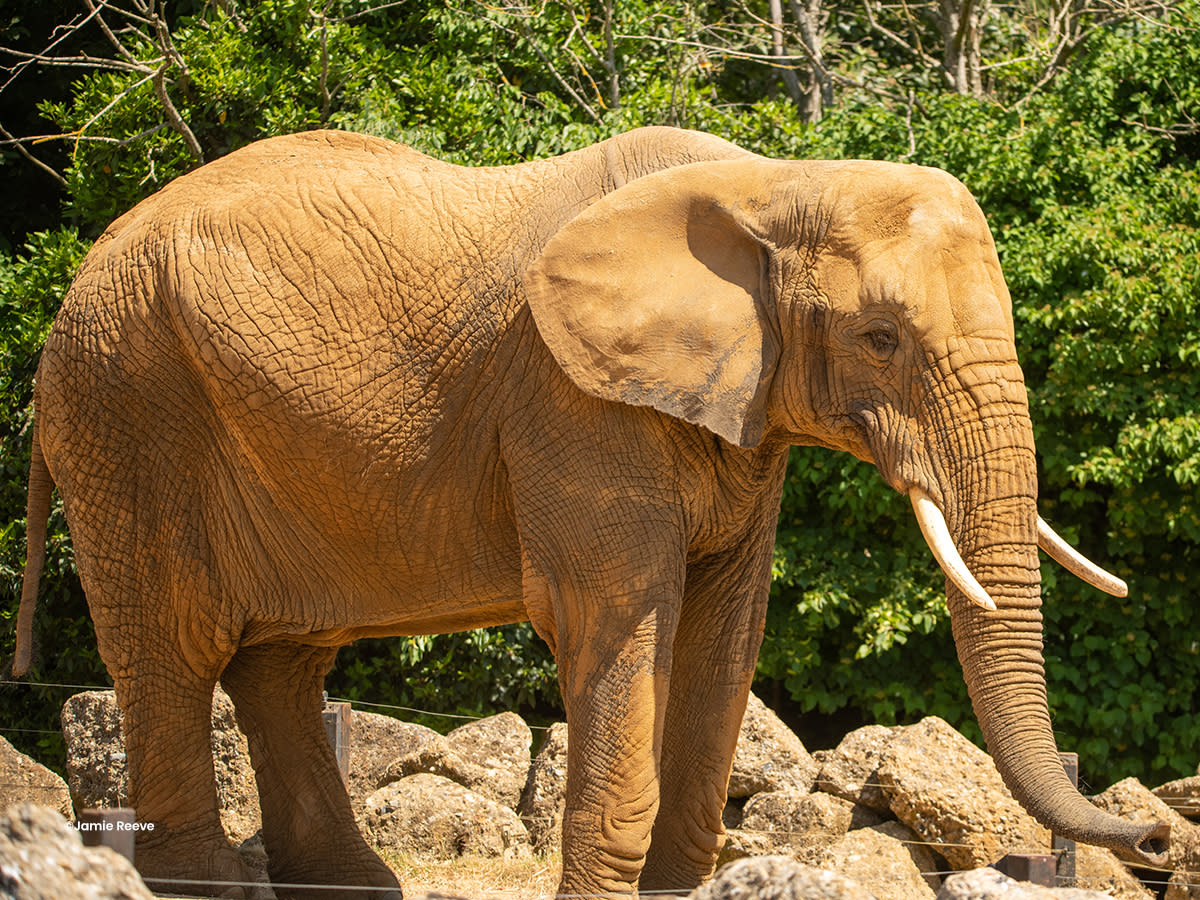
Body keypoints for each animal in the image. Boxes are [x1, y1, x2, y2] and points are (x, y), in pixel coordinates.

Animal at [13, 125, 1169, 898]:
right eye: (881, 339)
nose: (1155, 842)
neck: (773, 181)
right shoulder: (571, 402)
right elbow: (618, 619)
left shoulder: (740, 420)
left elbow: (724, 637)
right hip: (127, 408)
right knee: (175, 646)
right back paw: (201, 880)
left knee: (281, 662)